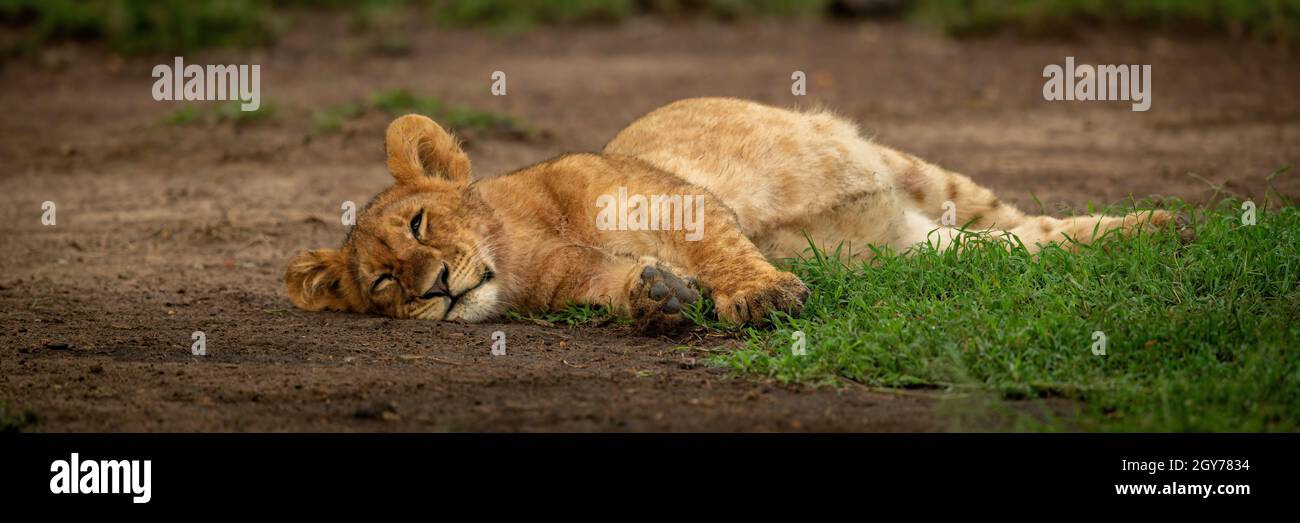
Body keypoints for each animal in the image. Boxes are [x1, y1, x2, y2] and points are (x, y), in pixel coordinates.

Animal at [285, 97, 1190, 331]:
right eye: (382, 283)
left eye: (419, 226)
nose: (435, 287)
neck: (525, 239)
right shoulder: (561, 282)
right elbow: (607, 287)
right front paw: (655, 298)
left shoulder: (676, 198)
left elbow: (724, 249)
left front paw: (761, 296)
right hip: (932, 248)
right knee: (1014, 250)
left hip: (915, 170)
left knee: (1030, 223)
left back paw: (1165, 227)